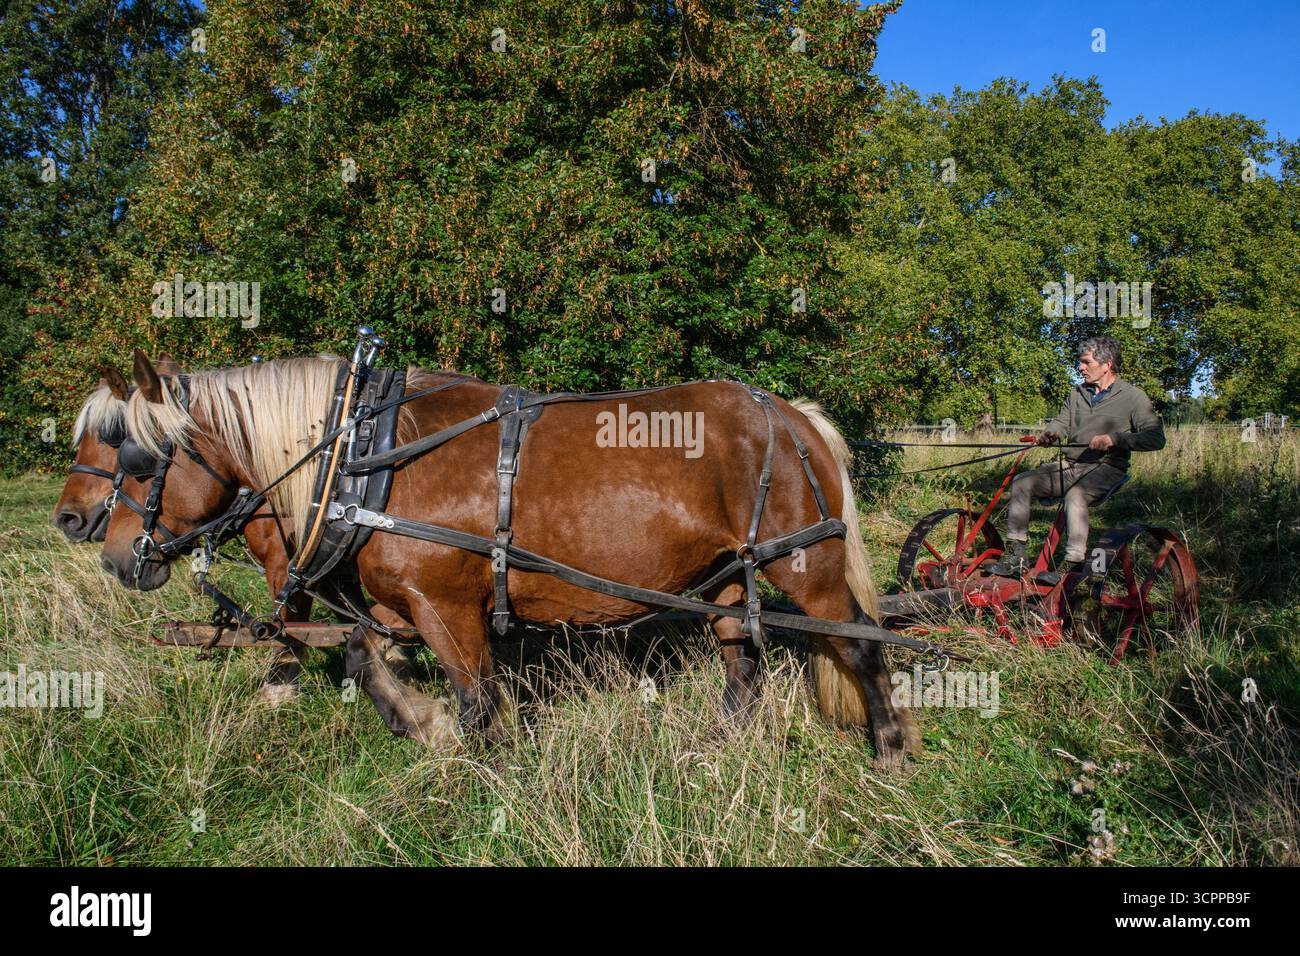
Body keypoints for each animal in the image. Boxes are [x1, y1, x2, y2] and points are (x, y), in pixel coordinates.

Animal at [99, 351, 921, 765]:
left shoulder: (445, 607)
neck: (363, 456)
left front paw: (481, 772)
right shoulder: (400, 604)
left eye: (136, 456)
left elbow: (478, 704)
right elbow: (367, 658)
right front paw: (422, 724)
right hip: (723, 574)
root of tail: (792, 415)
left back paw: (888, 749)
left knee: (859, 645)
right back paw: (719, 745)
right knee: (740, 657)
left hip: (804, 565)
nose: (110, 556)